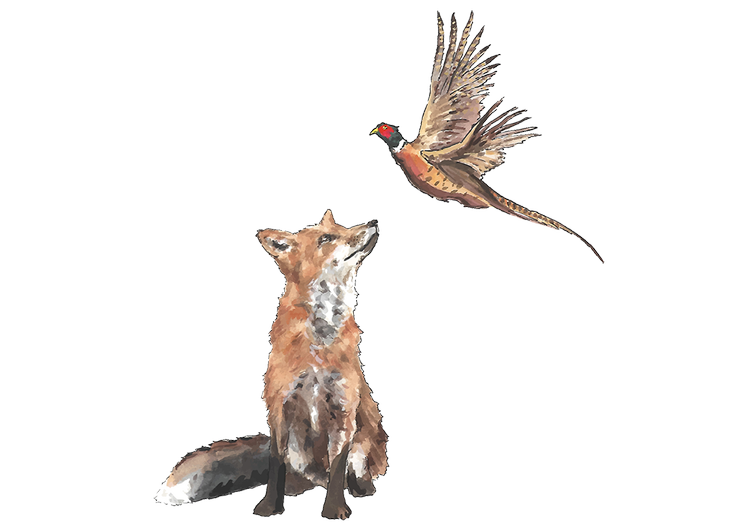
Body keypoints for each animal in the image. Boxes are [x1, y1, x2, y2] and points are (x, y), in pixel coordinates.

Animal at [155, 208, 390, 520]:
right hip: (300, 449)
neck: (318, 345)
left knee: (349, 471)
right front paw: (268, 506)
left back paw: (360, 488)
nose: (373, 221)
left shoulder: (343, 409)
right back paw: (295, 487)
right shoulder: (280, 405)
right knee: (297, 474)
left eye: (342, 227)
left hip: (367, 436)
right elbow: (275, 464)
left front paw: (335, 509)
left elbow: (339, 465)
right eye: (327, 238)